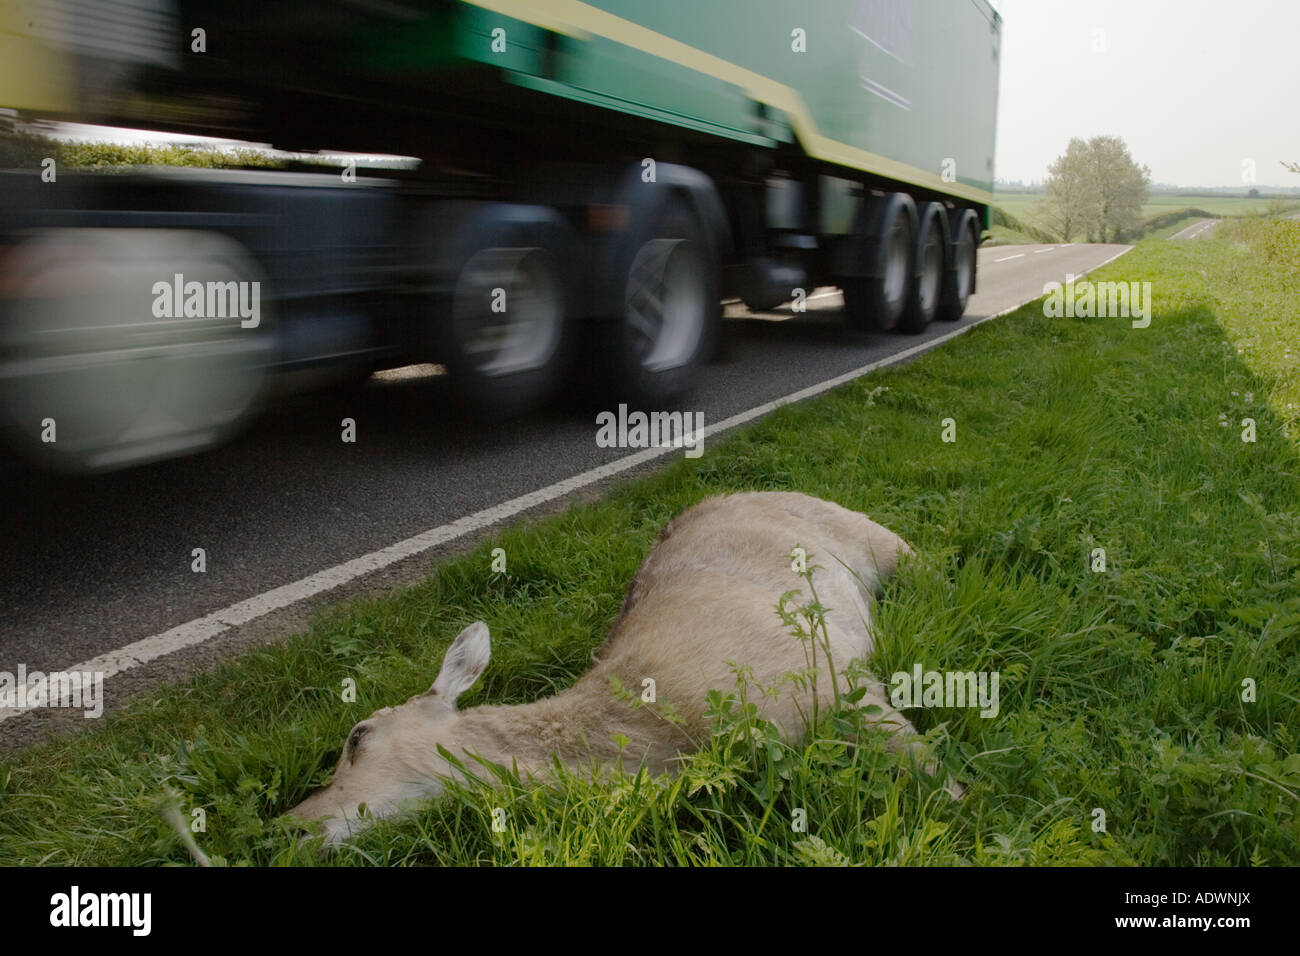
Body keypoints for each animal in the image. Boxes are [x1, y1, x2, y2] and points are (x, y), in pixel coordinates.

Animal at [288, 491, 957, 844]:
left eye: (357, 736)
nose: (287, 827)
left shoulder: (836, 682)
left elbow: (942, 783)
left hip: (870, 534)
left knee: (931, 565)